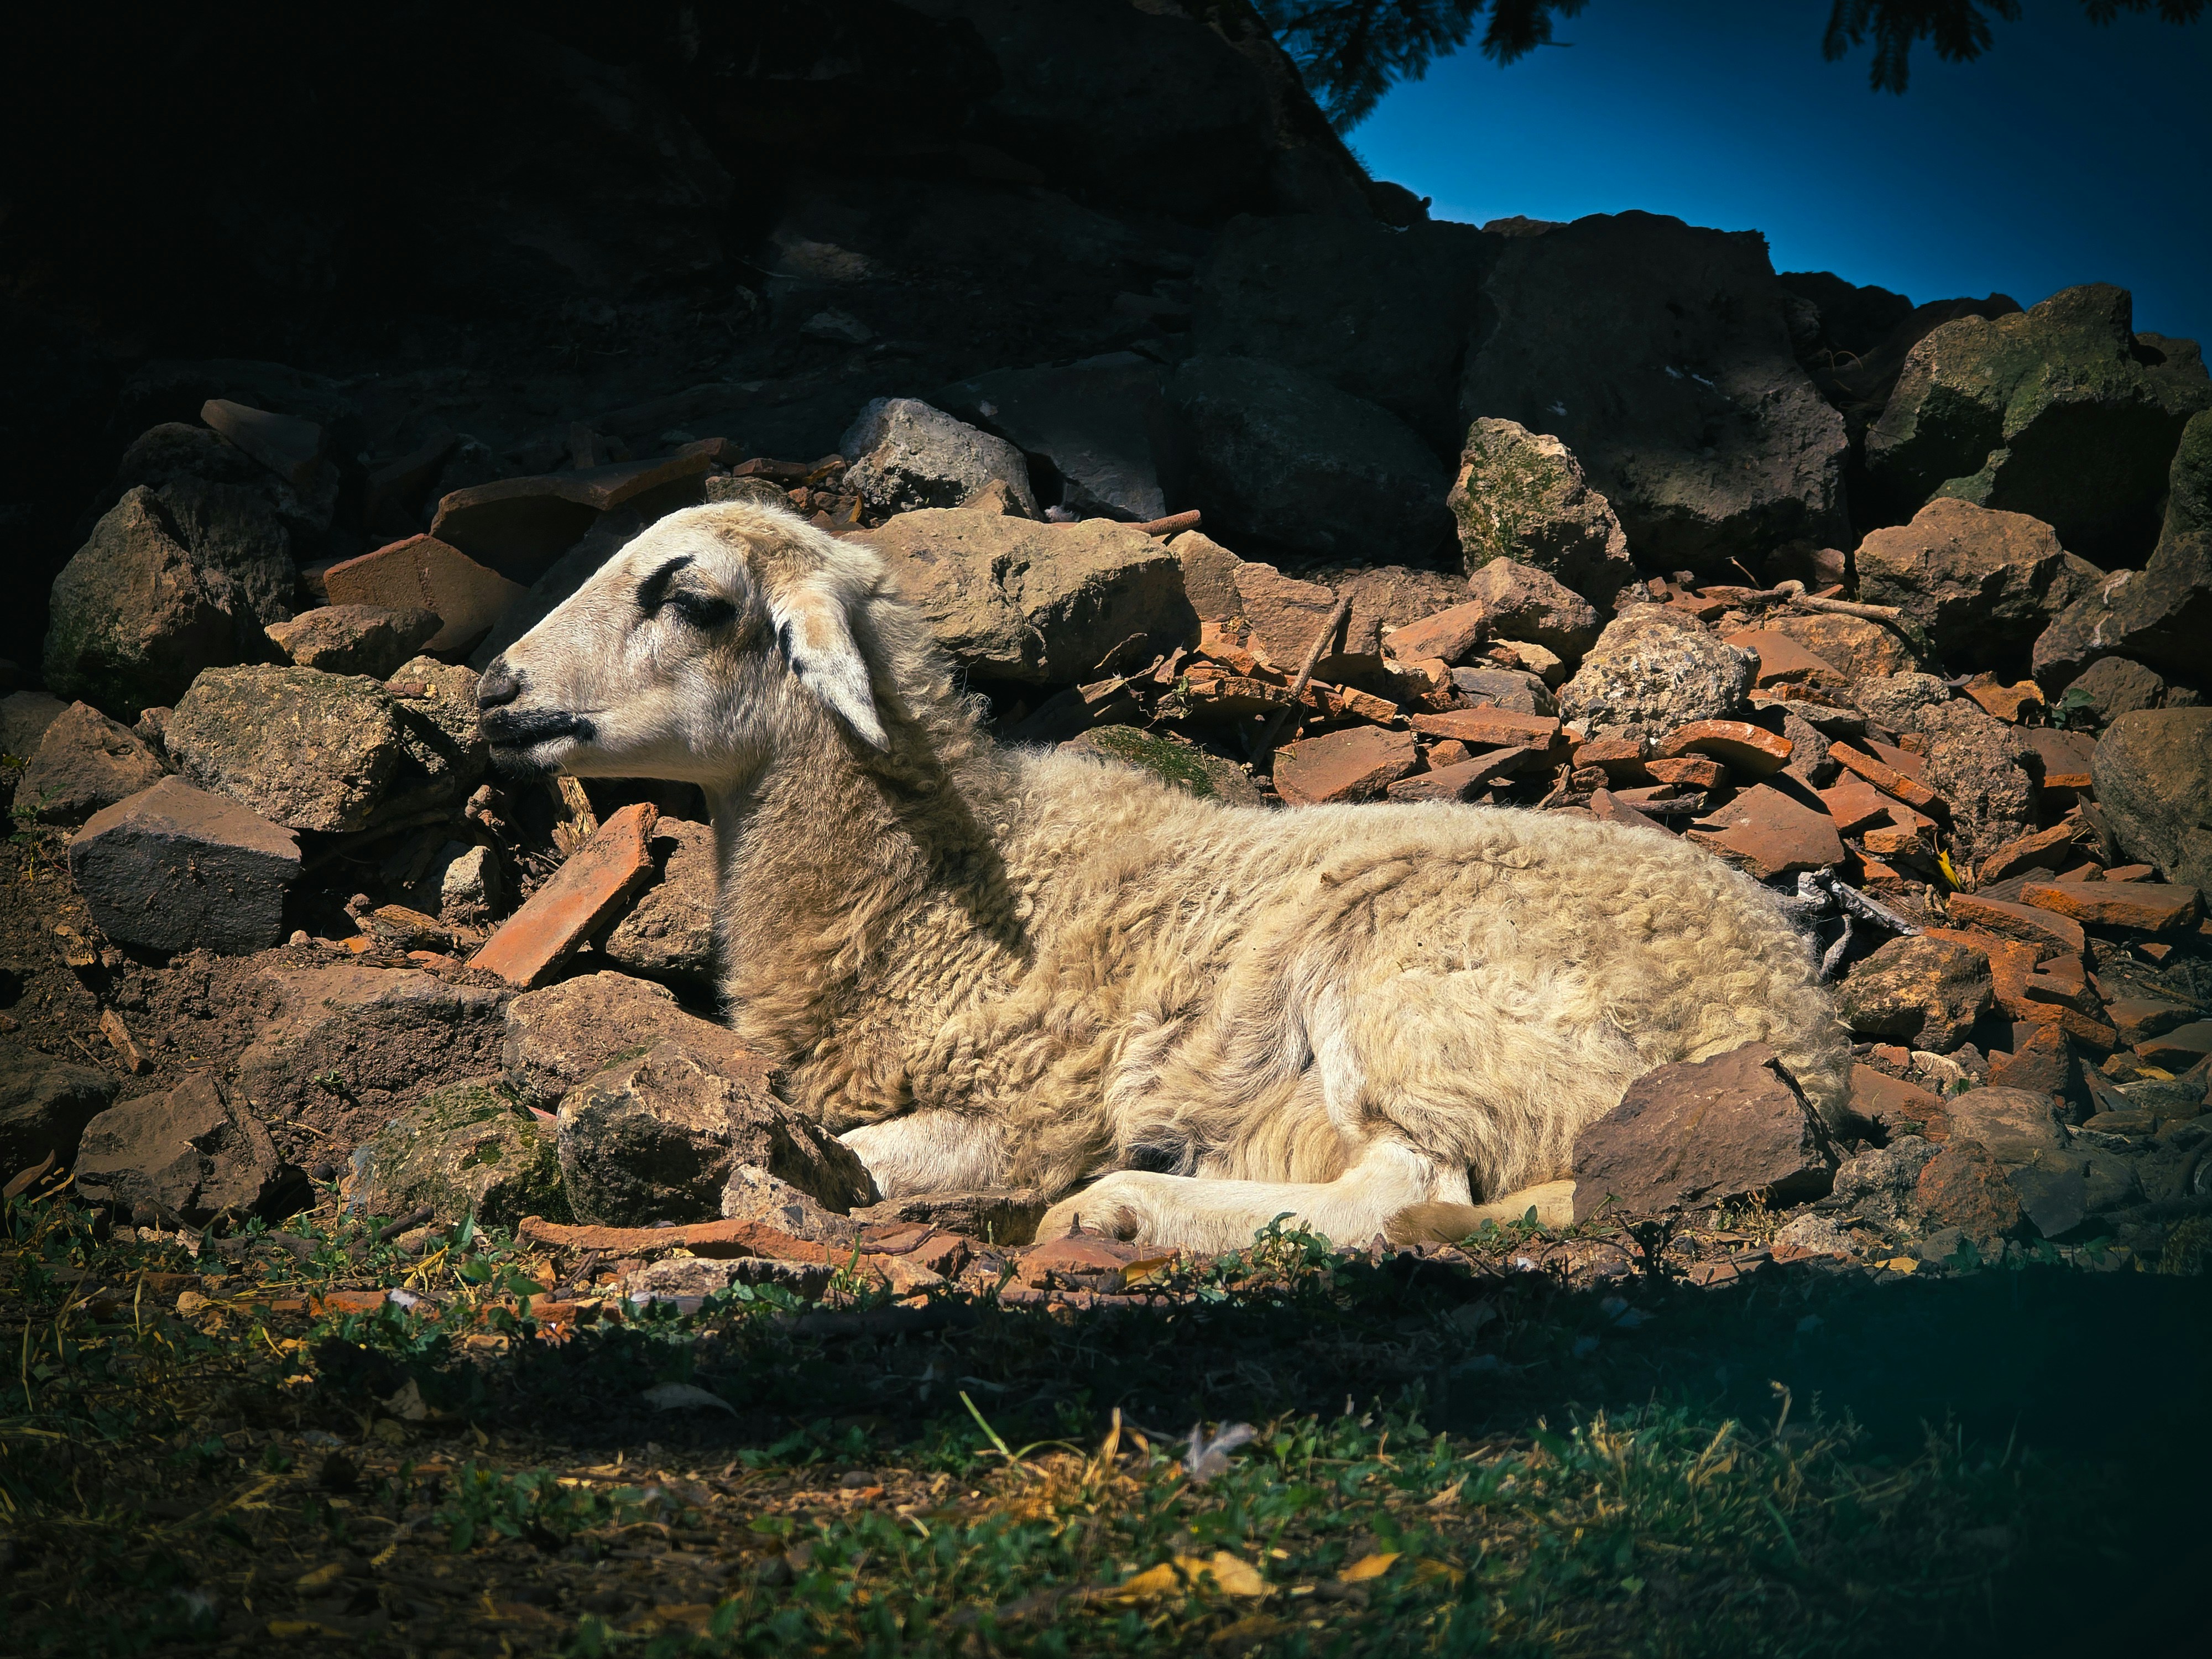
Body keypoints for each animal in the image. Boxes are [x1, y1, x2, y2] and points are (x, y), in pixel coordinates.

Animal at [476, 500, 1850, 1252]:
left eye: (694, 602)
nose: (493, 690)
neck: (942, 875)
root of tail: (1794, 1018)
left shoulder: (1027, 1112)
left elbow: (862, 1159)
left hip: (1423, 1002)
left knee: (1402, 1190)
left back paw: (1130, 1208)